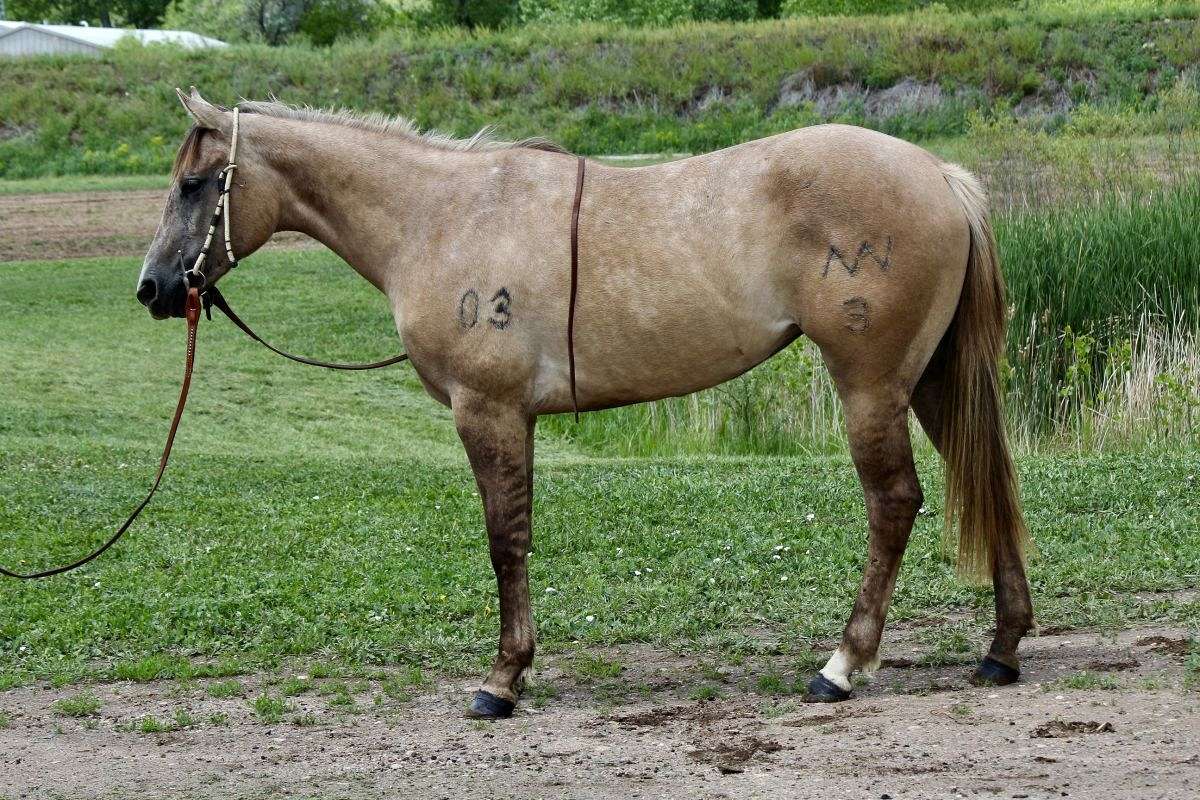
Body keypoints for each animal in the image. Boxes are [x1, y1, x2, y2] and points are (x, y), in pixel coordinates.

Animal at [138, 88, 1033, 719]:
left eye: (193, 184)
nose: (152, 288)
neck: (441, 216)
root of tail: (939, 176)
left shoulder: (488, 411)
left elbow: (505, 541)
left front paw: (501, 680)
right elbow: (519, 536)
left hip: (871, 389)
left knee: (895, 504)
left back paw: (842, 666)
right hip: (931, 382)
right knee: (988, 482)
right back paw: (1002, 648)